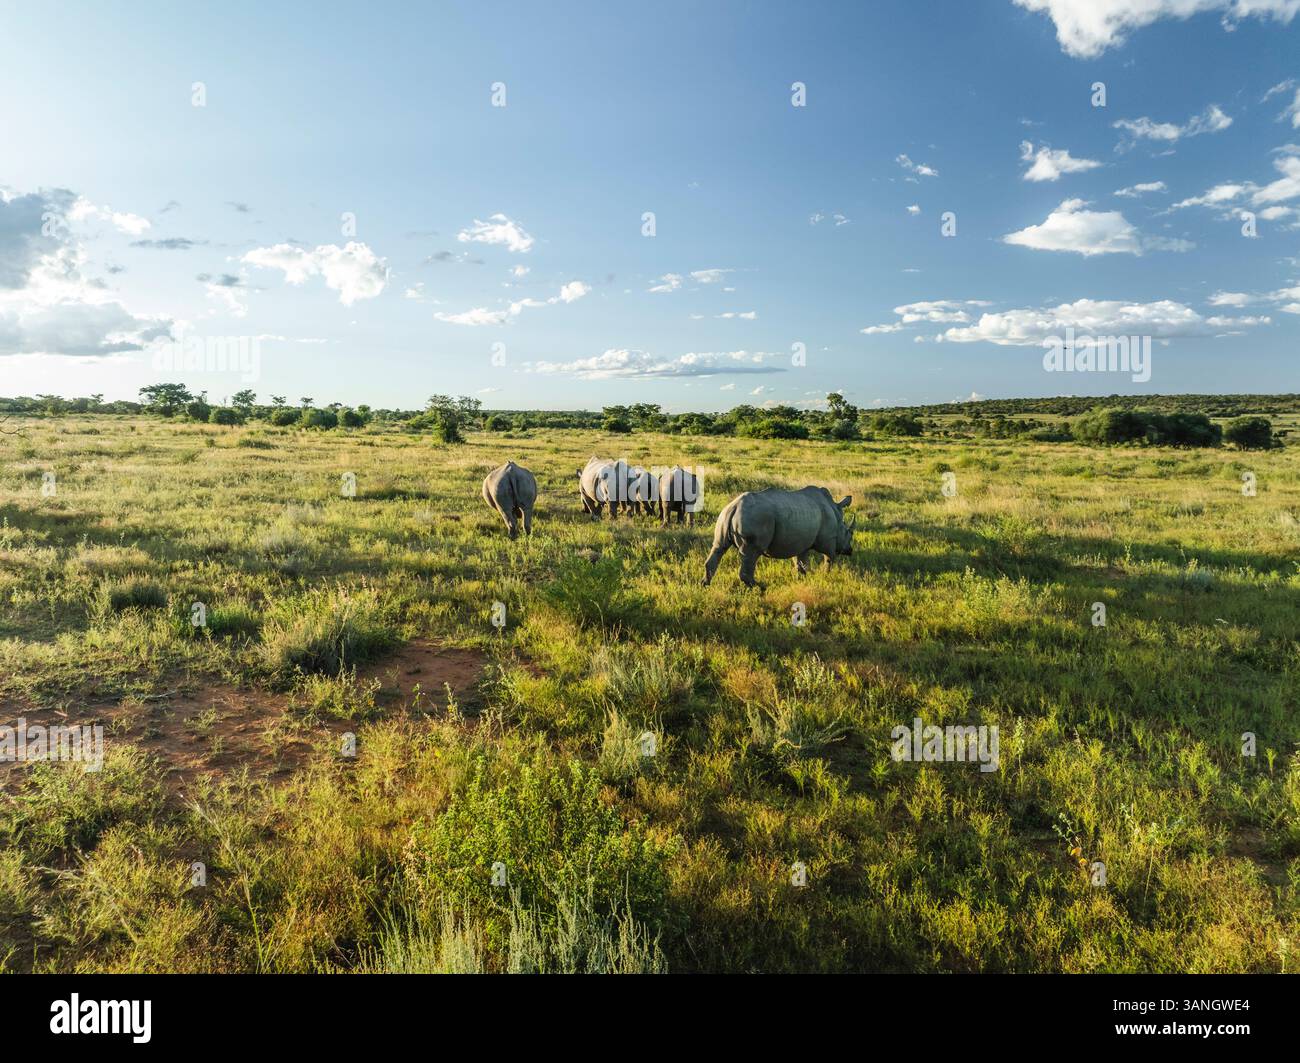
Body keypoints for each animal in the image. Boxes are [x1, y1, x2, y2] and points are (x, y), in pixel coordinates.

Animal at [702, 487, 855, 588]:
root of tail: (734, 507)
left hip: (724, 516)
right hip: (755, 518)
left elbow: (801, 562)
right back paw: (760, 587)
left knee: (719, 547)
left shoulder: (800, 542)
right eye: (848, 533)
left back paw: (705, 585)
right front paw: (825, 576)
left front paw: (803, 578)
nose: (850, 550)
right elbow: (829, 558)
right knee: (751, 553)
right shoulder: (828, 540)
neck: (836, 513)